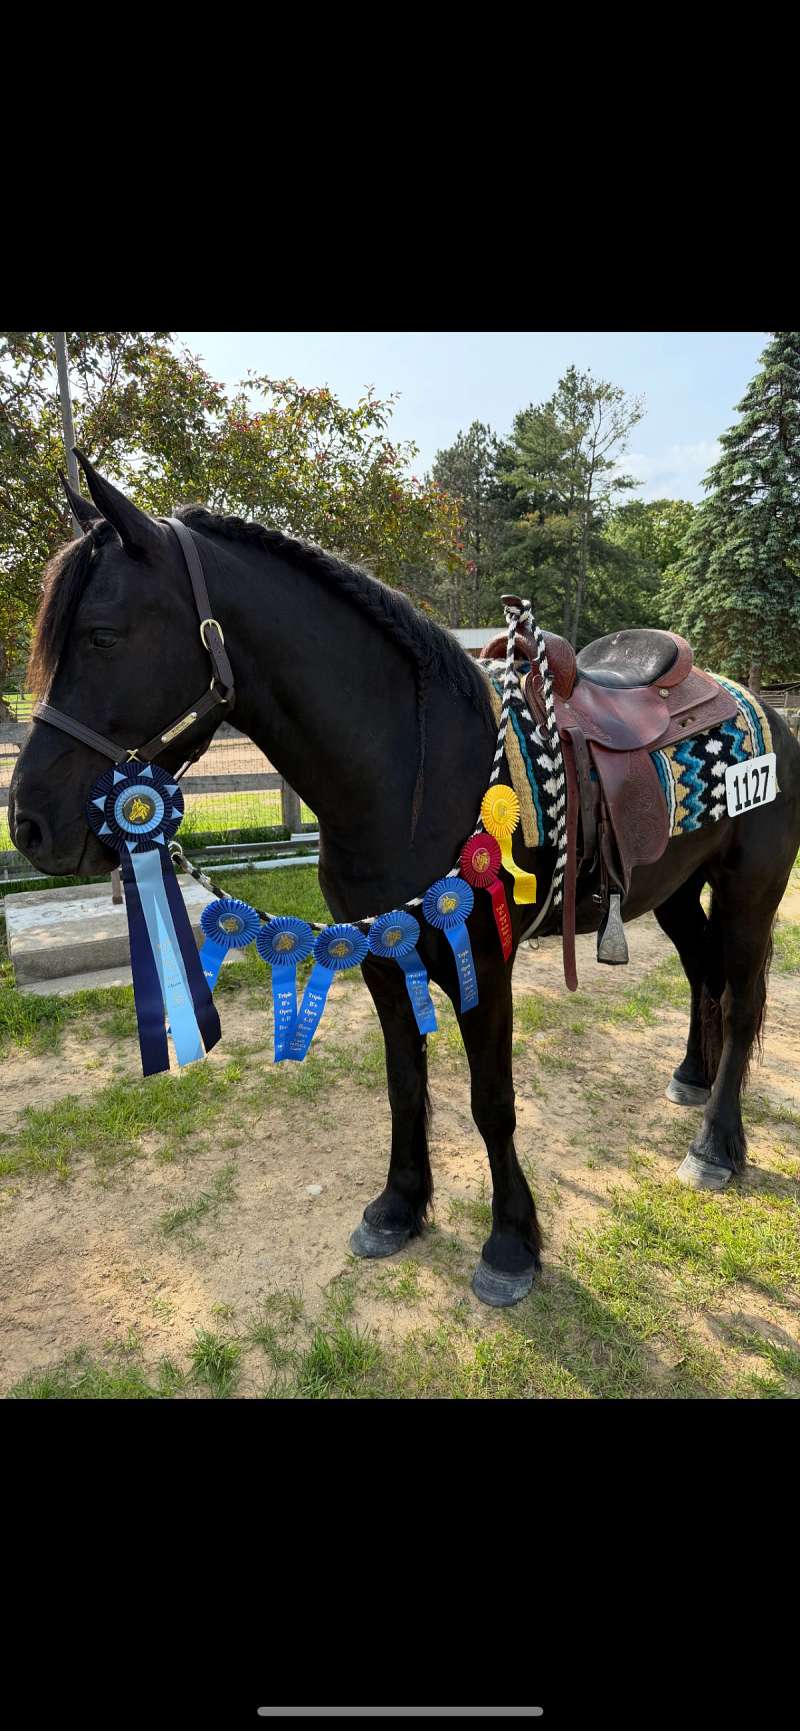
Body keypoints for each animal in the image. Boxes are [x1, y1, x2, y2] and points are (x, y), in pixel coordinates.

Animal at [9, 454, 800, 1308]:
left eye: (103, 634)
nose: (29, 823)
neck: (414, 766)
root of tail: (761, 705)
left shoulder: (483, 963)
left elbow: (492, 1102)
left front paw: (511, 1243)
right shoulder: (383, 959)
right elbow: (404, 1084)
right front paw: (398, 1205)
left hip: (751, 890)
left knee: (744, 998)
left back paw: (717, 1144)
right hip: (676, 889)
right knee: (704, 978)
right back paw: (691, 1077)